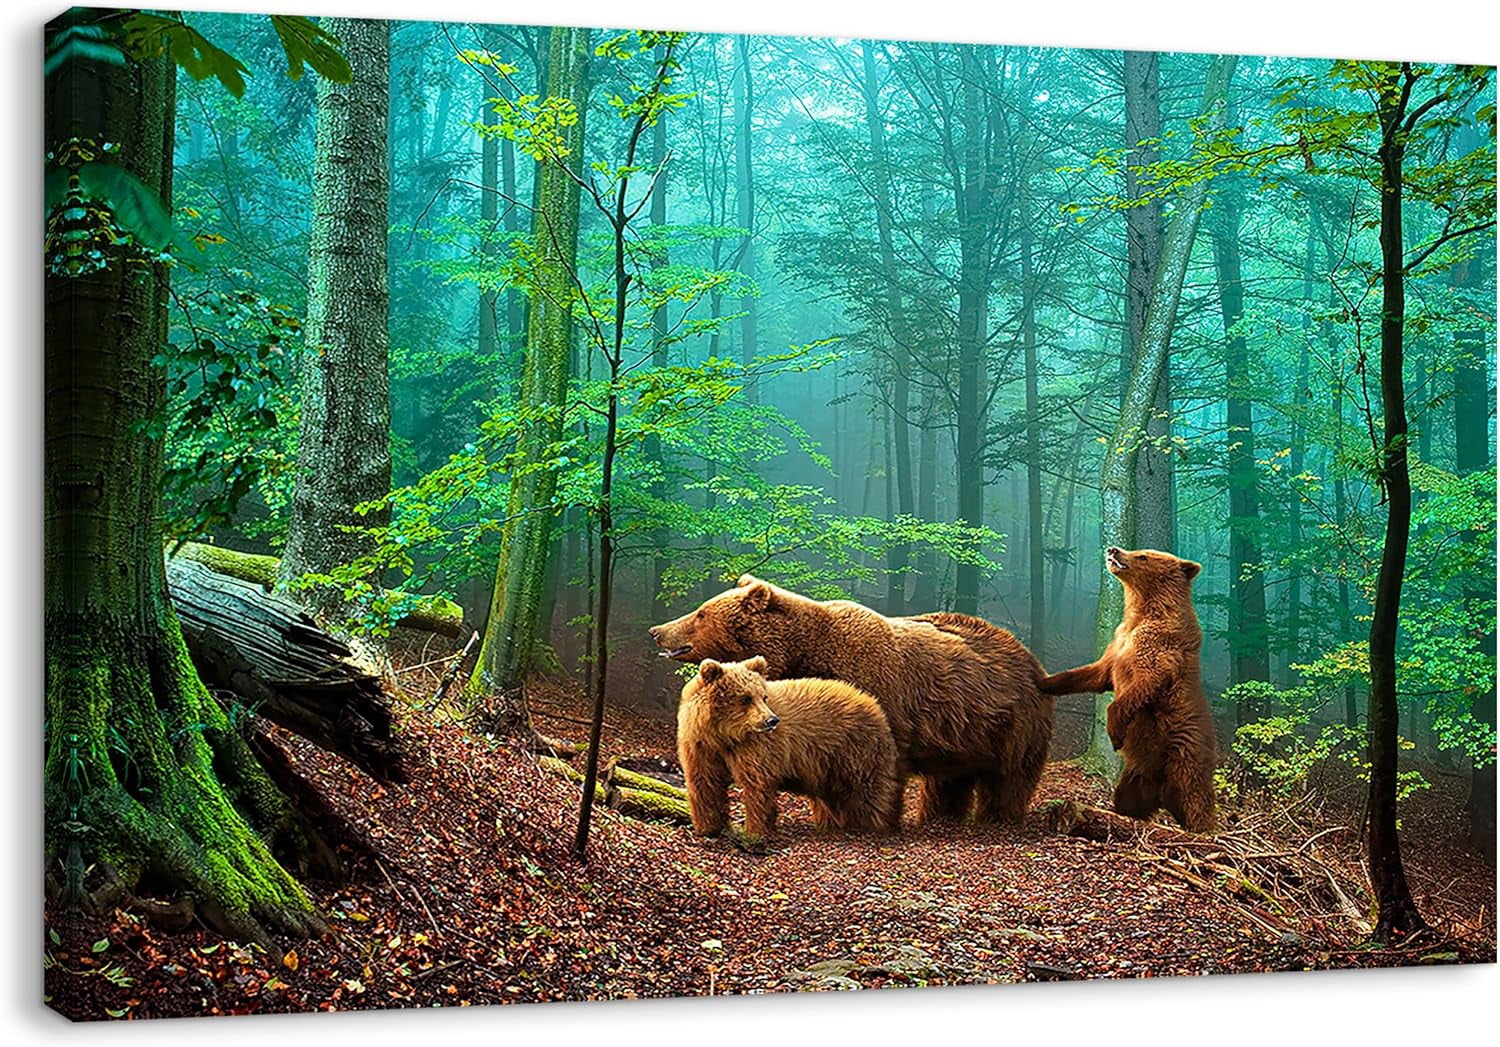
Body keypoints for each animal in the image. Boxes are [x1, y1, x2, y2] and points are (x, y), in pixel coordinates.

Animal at [651, 576, 1052, 824]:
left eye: (701, 613)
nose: (657, 630)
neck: (803, 655)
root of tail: (1035, 661)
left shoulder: (875, 695)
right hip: (962, 735)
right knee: (948, 781)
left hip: (1011, 724)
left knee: (1009, 779)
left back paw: (998, 817)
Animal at [676, 657, 901, 844]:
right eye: (746, 698)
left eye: (763, 696)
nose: (771, 720)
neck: (723, 735)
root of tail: (872, 702)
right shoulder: (699, 745)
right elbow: (704, 782)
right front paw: (708, 827)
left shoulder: (756, 747)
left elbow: (757, 784)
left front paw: (754, 832)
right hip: (827, 765)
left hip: (856, 750)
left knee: (867, 791)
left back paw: (872, 825)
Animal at [1039, 546, 1217, 833]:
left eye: (1144, 555)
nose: (1113, 549)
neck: (1142, 612)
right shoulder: (1118, 643)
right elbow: (1093, 674)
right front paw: (1043, 680)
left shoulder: (1158, 647)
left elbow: (1143, 683)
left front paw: (1115, 733)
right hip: (1137, 777)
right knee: (1129, 800)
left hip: (1185, 756)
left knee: (1195, 797)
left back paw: (1204, 828)